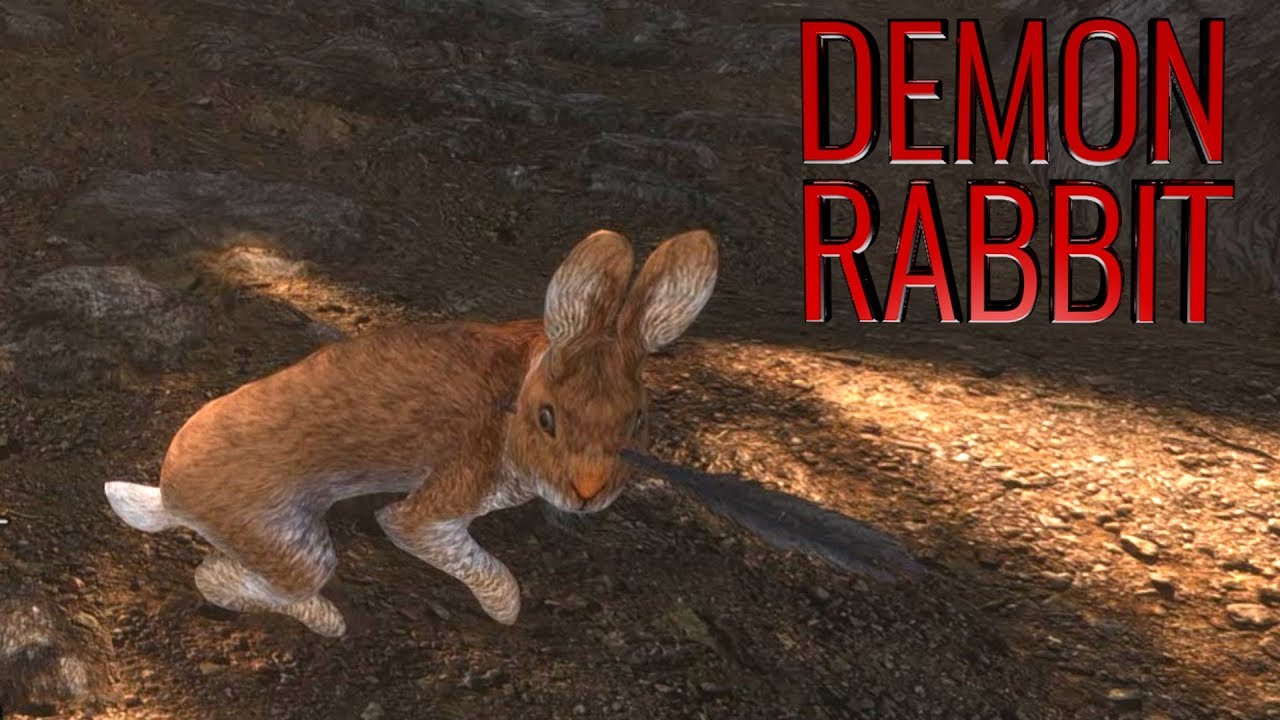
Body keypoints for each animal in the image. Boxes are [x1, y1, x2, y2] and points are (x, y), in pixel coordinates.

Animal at [103, 229, 718, 637]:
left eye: (637, 420)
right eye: (547, 418)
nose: (588, 494)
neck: (515, 394)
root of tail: (168, 490)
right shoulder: (432, 508)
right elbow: (473, 564)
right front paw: (505, 615)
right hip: (291, 543)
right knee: (218, 577)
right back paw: (329, 622)